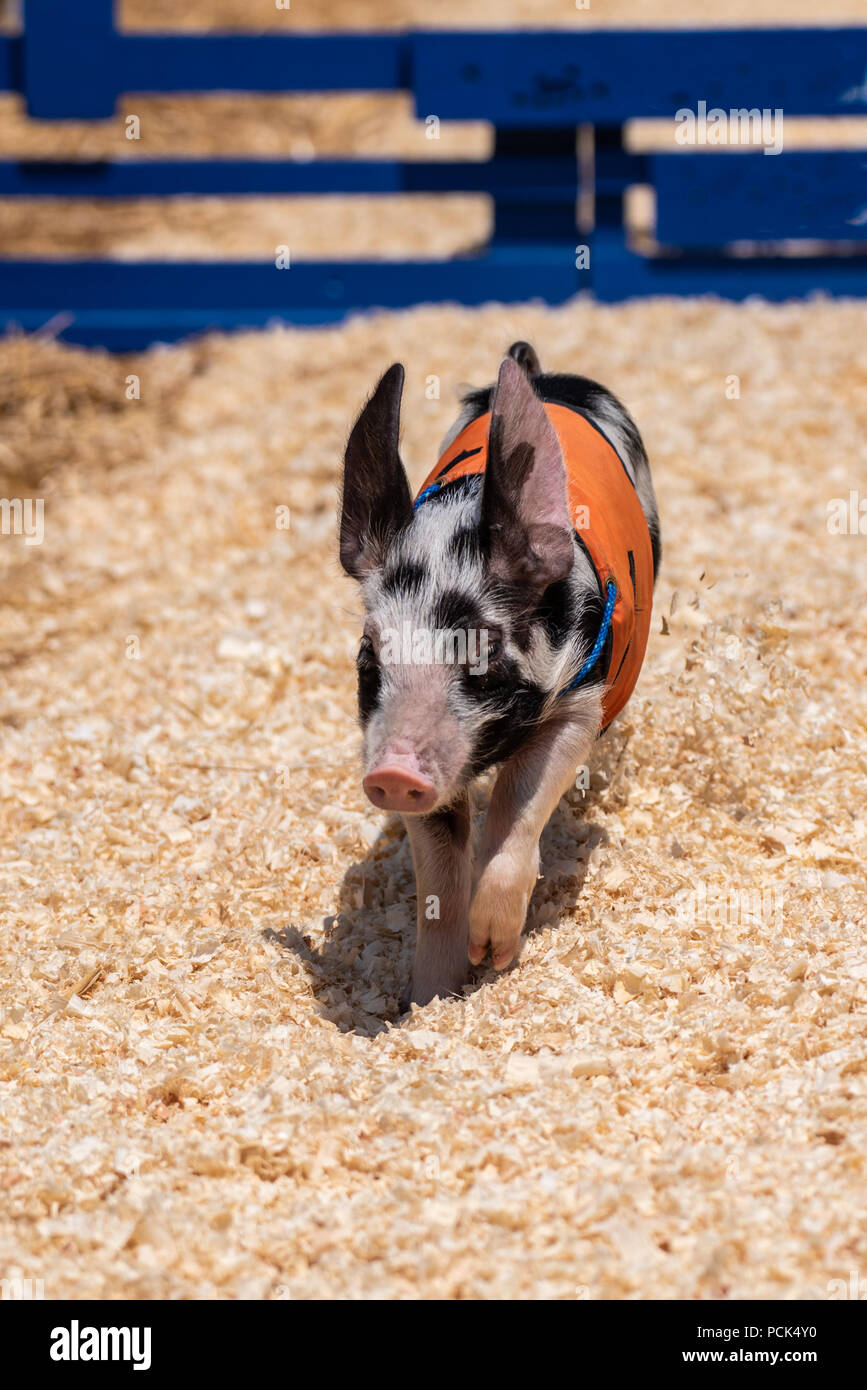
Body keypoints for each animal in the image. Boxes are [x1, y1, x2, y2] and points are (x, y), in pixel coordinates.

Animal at [339, 342, 661, 1006]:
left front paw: (494, 952)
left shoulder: (579, 702)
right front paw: (429, 998)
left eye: (483, 653)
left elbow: (519, 798)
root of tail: (542, 373)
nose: (391, 773)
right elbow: (439, 868)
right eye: (368, 656)